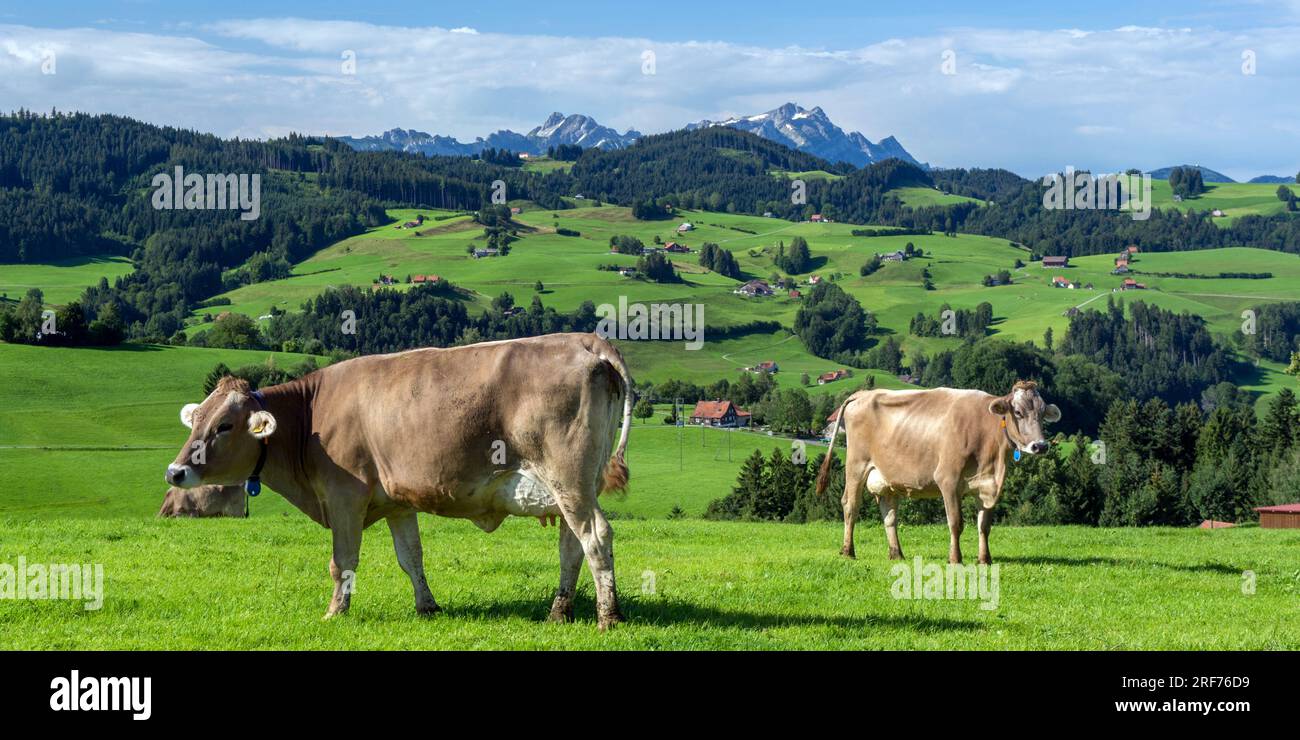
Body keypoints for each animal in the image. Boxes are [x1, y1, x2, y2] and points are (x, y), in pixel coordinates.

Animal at [165, 333, 633, 629]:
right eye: (196, 421)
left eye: (224, 426)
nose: (175, 471)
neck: (309, 416)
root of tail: (585, 339)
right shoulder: (398, 503)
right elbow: (411, 558)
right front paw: (427, 607)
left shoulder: (344, 497)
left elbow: (342, 561)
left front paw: (335, 613)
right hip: (574, 486)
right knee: (571, 546)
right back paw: (559, 612)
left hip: (568, 479)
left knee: (595, 536)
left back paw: (607, 617)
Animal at [816, 380, 1060, 565]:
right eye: (1017, 412)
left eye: (1041, 414)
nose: (1040, 446)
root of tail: (863, 394)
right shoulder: (948, 480)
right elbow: (956, 523)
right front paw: (955, 558)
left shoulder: (988, 486)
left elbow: (984, 526)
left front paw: (985, 560)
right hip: (856, 465)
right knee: (851, 505)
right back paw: (848, 551)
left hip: (888, 478)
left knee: (889, 514)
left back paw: (896, 554)